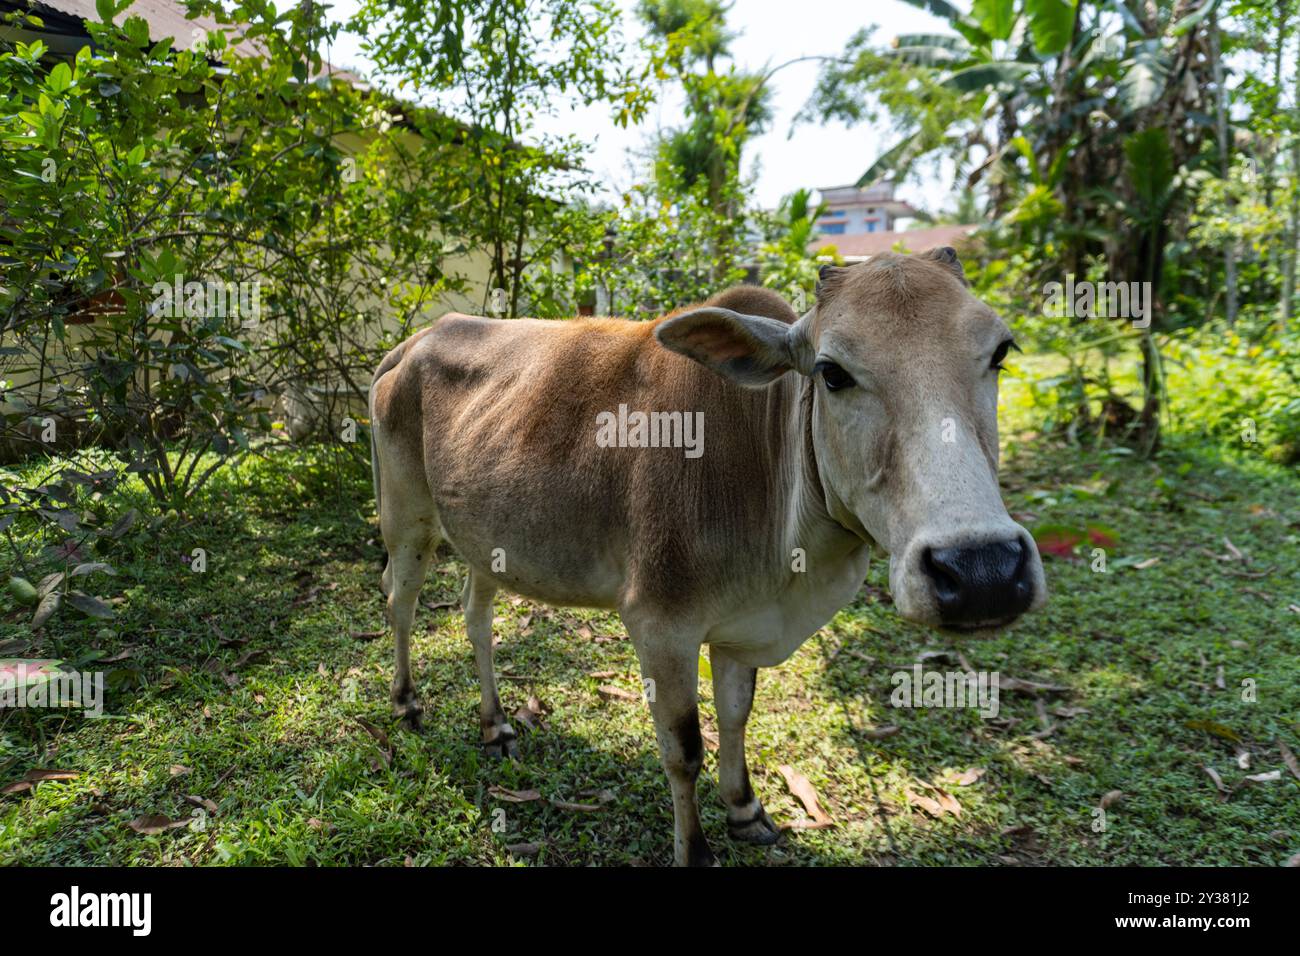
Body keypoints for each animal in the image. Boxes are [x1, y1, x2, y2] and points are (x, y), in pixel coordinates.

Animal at [367, 247, 1046, 866]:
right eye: (832, 373)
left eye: (1001, 352)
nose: (983, 571)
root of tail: (415, 340)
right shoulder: (659, 623)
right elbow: (684, 748)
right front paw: (694, 849)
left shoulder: (740, 629)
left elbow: (738, 715)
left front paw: (745, 809)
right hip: (408, 519)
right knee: (400, 600)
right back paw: (407, 701)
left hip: (485, 540)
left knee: (475, 616)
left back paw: (495, 724)